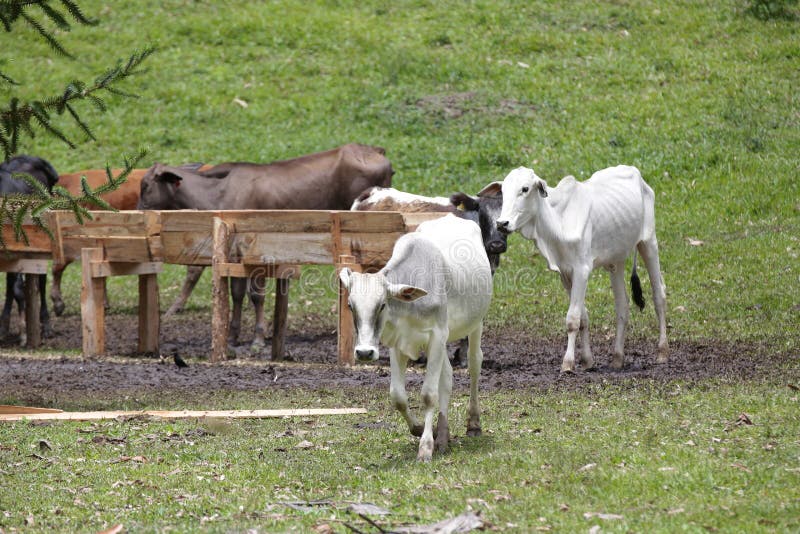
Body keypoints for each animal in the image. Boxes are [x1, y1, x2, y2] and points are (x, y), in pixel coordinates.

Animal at [137, 143, 394, 351]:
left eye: (146, 184)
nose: (138, 210)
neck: (219, 194)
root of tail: (375, 150)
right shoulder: (234, 253)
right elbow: (237, 293)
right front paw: (233, 335)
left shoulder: (258, 250)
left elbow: (256, 295)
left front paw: (258, 338)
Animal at [339, 214, 493, 461]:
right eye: (350, 306)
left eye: (382, 305)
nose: (364, 352)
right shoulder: (397, 344)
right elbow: (398, 396)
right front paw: (421, 430)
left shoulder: (437, 336)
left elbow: (428, 394)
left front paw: (425, 448)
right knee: (446, 377)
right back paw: (443, 435)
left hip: (475, 323)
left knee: (474, 364)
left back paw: (473, 423)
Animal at [480, 165, 668, 373]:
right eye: (503, 192)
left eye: (525, 189)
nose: (501, 223)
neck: (558, 221)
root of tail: (634, 171)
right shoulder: (565, 274)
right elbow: (583, 318)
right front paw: (587, 360)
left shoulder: (582, 270)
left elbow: (572, 319)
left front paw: (568, 363)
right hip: (616, 261)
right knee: (622, 306)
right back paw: (617, 358)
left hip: (649, 242)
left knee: (659, 295)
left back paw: (662, 352)